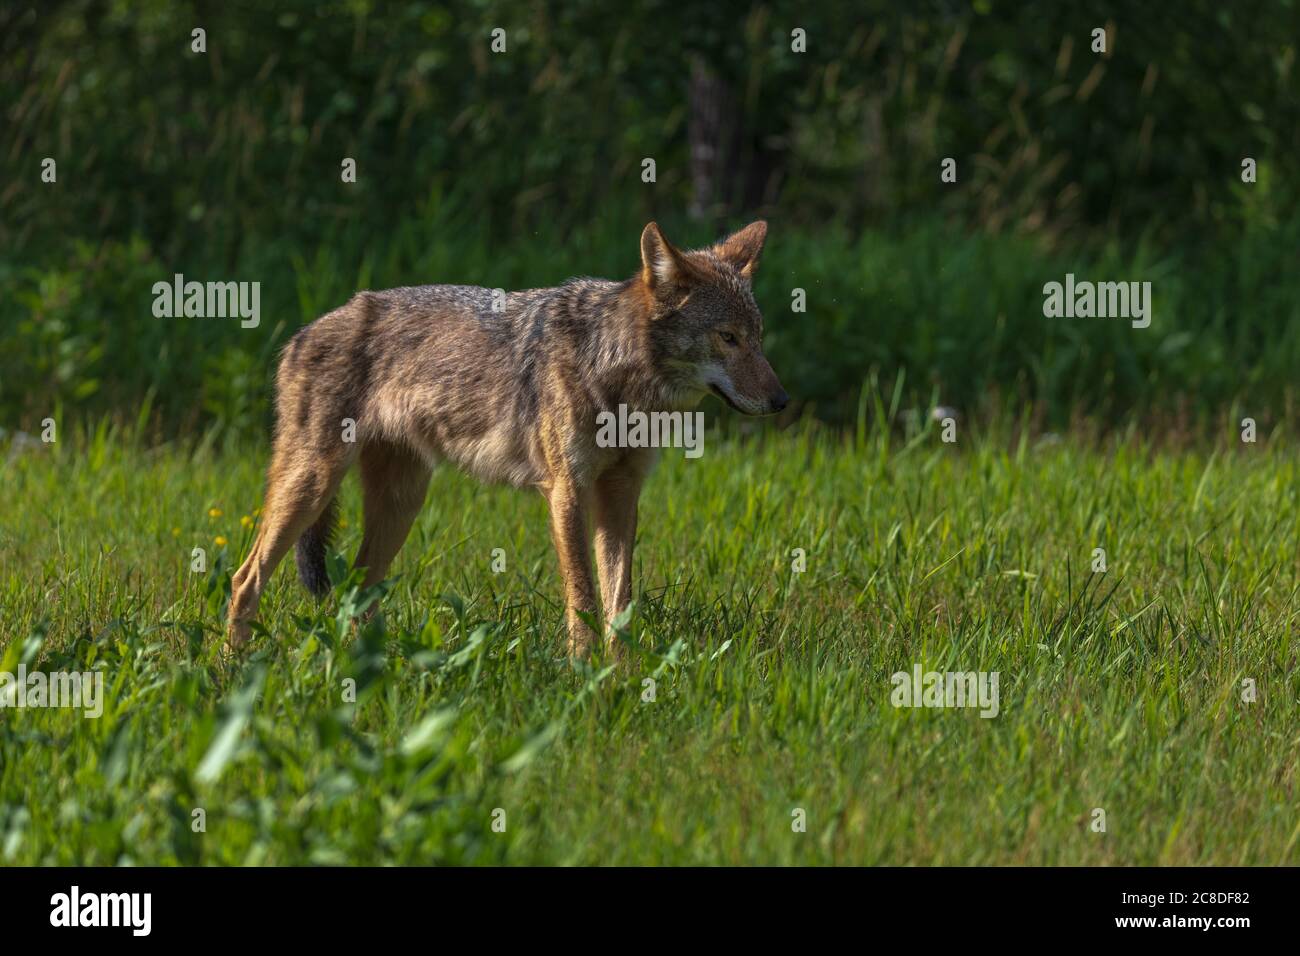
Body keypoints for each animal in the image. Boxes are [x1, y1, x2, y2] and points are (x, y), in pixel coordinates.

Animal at [227, 221, 788, 656]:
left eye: (759, 338)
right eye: (728, 338)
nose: (782, 400)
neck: (615, 372)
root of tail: (300, 334)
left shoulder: (622, 493)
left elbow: (619, 602)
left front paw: (621, 676)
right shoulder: (566, 491)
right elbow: (583, 596)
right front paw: (583, 672)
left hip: (401, 503)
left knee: (355, 591)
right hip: (313, 485)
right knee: (245, 579)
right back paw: (235, 675)